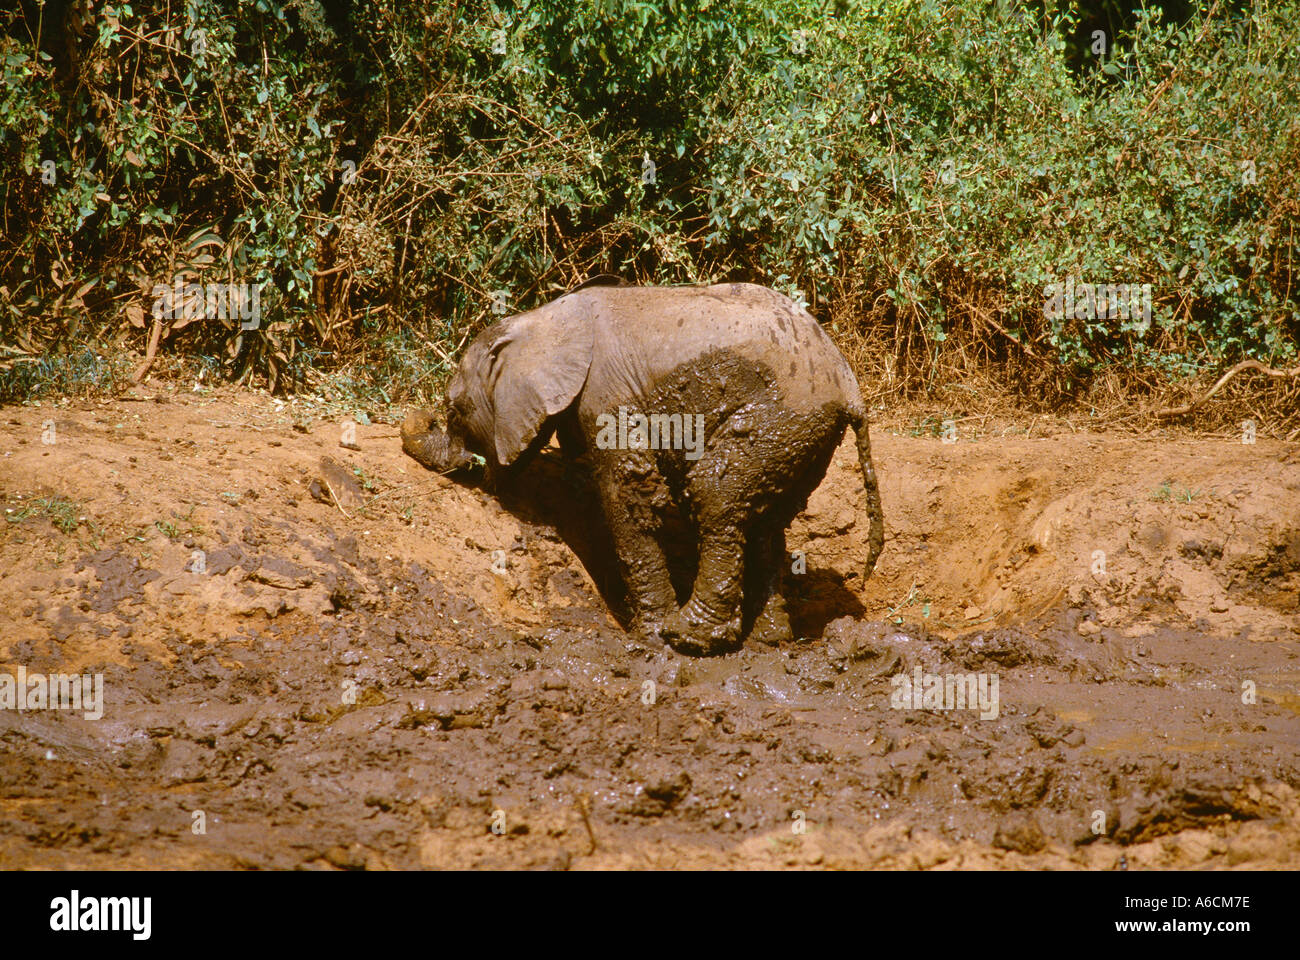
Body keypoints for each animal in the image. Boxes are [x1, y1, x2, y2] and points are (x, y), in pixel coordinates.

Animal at [402, 281, 884, 656]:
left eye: (454, 411)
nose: (417, 417)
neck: (541, 321)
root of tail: (851, 387)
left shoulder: (605, 392)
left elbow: (629, 494)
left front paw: (648, 637)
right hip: (804, 436)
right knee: (766, 520)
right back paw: (768, 640)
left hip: (781, 415)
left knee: (716, 496)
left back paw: (688, 637)